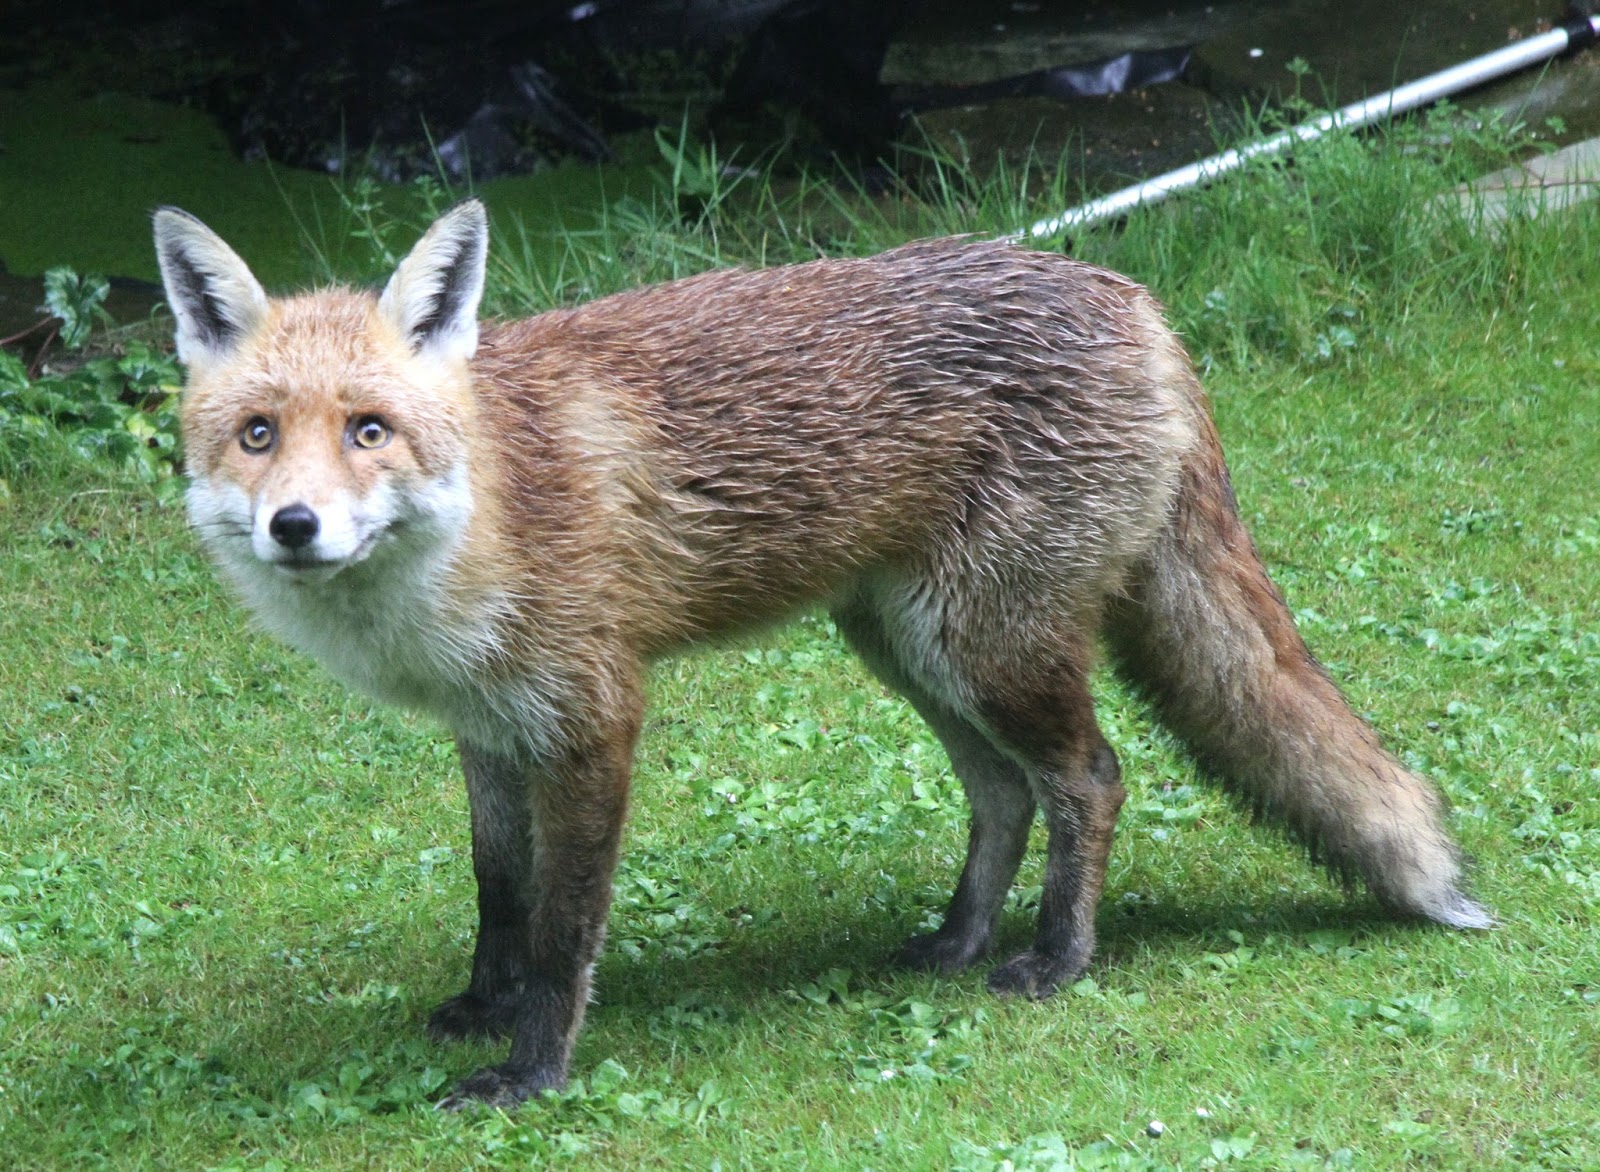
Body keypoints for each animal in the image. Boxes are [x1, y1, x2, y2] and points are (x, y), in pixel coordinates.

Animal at [152, 198, 1490, 1108]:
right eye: (258, 434)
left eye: (369, 430)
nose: (294, 526)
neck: (489, 508)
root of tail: (1134, 298)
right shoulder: (487, 725)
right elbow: (499, 892)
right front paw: (483, 1007)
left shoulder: (591, 716)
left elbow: (565, 925)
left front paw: (529, 1070)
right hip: (906, 645)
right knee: (1002, 791)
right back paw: (954, 940)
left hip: (986, 645)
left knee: (1092, 778)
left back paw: (1055, 957)